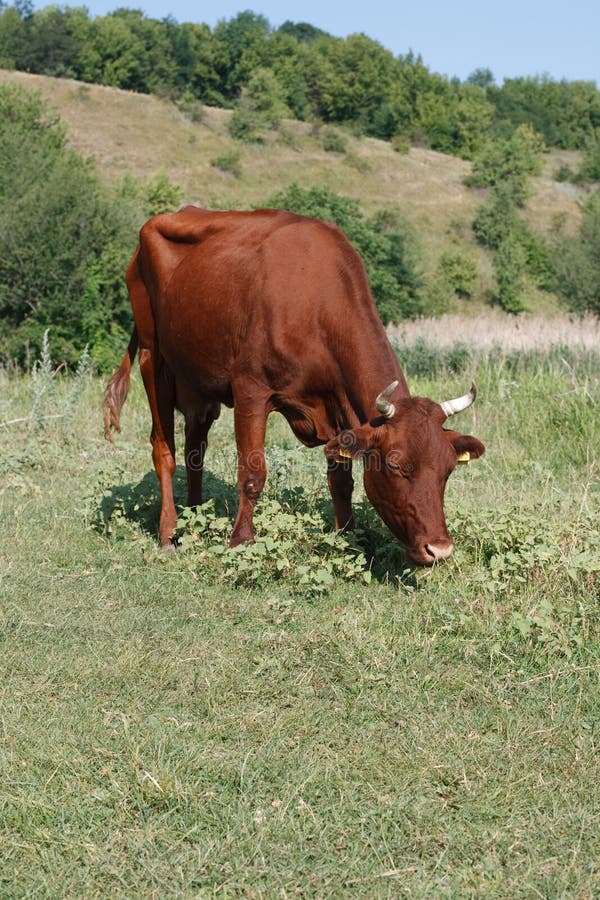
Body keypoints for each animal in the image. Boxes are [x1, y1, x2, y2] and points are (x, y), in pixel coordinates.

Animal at [104, 206, 485, 566]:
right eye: (395, 465)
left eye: (448, 470)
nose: (439, 549)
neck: (316, 303)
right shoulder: (250, 389)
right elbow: (253, 473)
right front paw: (241, 542)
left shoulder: (339, 406)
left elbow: (341, 481)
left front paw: (347, 539)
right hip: (154, 358)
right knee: (163, 449)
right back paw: (169, 533)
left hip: (198, 381)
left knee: (194, 450)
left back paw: (194, 521)